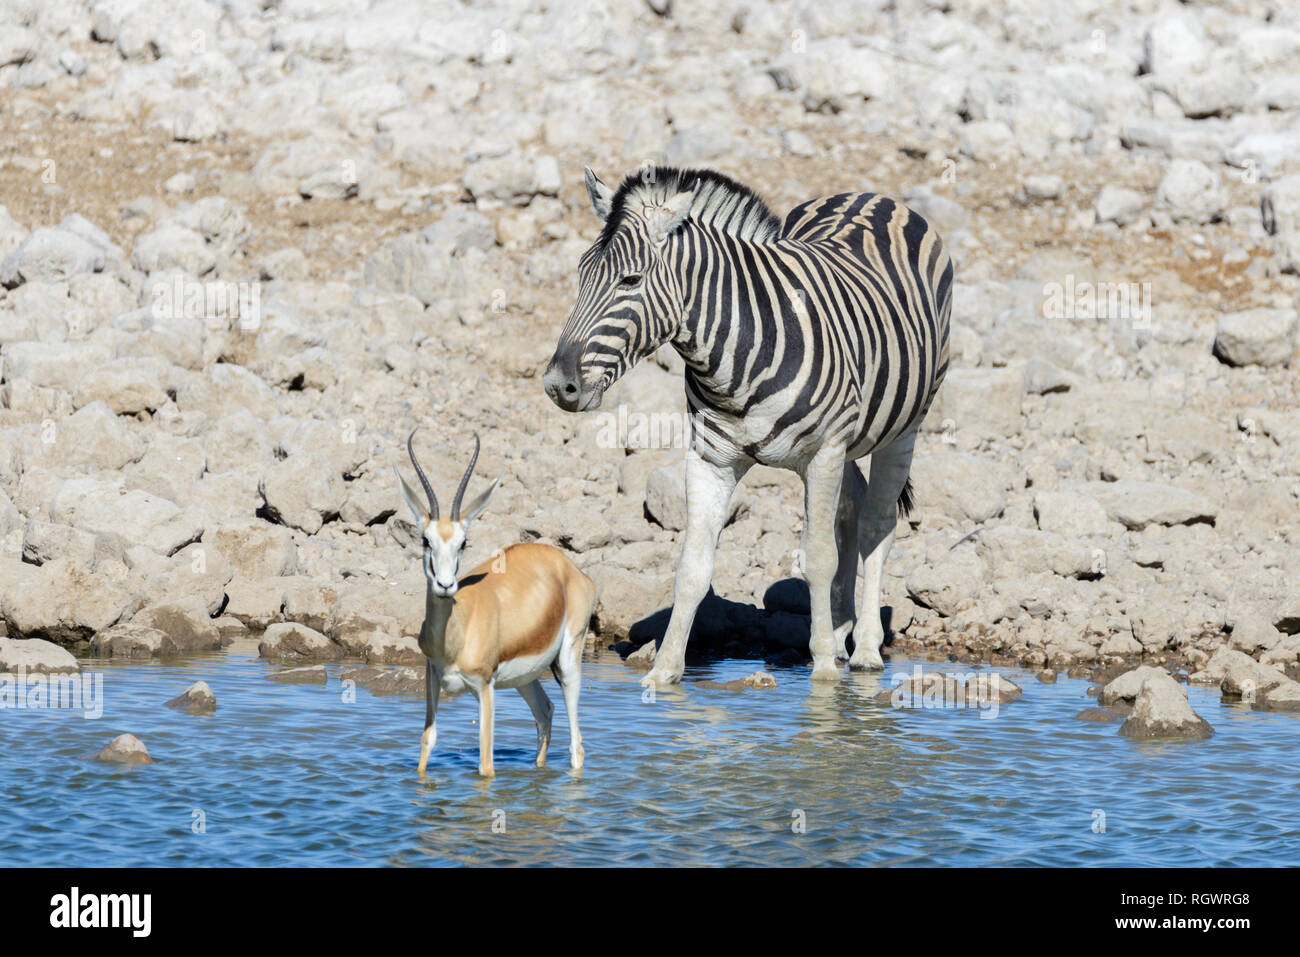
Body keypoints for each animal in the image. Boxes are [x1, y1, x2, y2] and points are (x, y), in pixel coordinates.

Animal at [543, 166, 953, 686]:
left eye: (630, 280)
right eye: (581, 273)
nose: (558, 385)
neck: (734, 359)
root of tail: (872, 195)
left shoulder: (825, 451)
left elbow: (819, 557)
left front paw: (823, 673)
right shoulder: (711, 457)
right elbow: (693, 566)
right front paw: (663, 673)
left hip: (903, 428)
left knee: (876, 523)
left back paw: (862, 651)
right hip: (848, 440)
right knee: (850, 508)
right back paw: (842, 631)